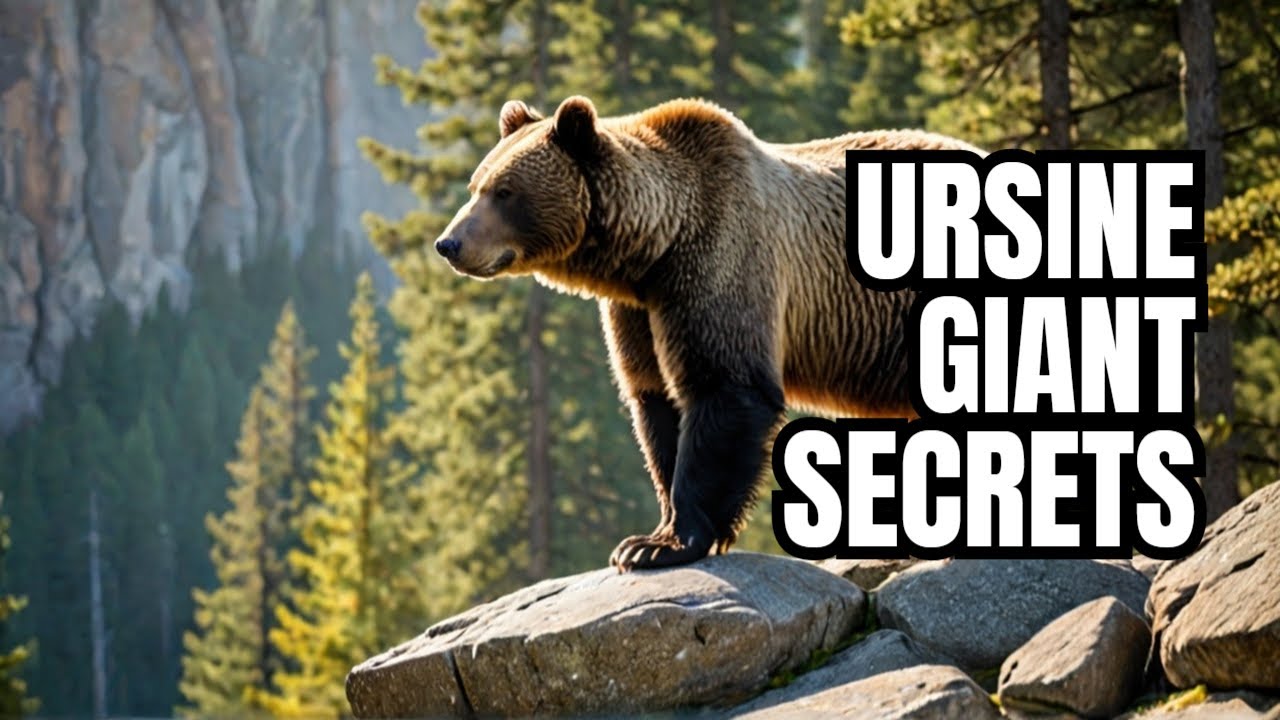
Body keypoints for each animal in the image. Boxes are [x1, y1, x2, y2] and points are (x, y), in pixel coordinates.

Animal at [434, 95, 984, 572]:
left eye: (505, 192)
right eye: (475, 185)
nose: (449, 243)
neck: (653, 249)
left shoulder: (720, 262)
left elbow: (725, 387)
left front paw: (659, 545)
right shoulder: (638, 310)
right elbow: (656, 404)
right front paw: (652, 533)